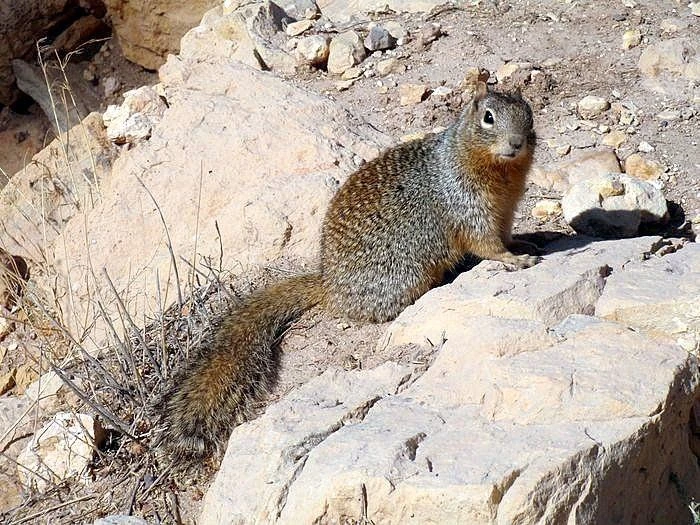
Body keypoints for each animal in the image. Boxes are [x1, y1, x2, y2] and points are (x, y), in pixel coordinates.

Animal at [157, 80, 540, 460]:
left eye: (529, 113)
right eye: (488, 117)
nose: (516, 143)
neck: (498, 172)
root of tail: (328, 283)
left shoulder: (507, 209)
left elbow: (506, 234)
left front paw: (526, 244)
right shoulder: (467, 204)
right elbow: (486, 243)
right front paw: (515, 260)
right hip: (404, 277)